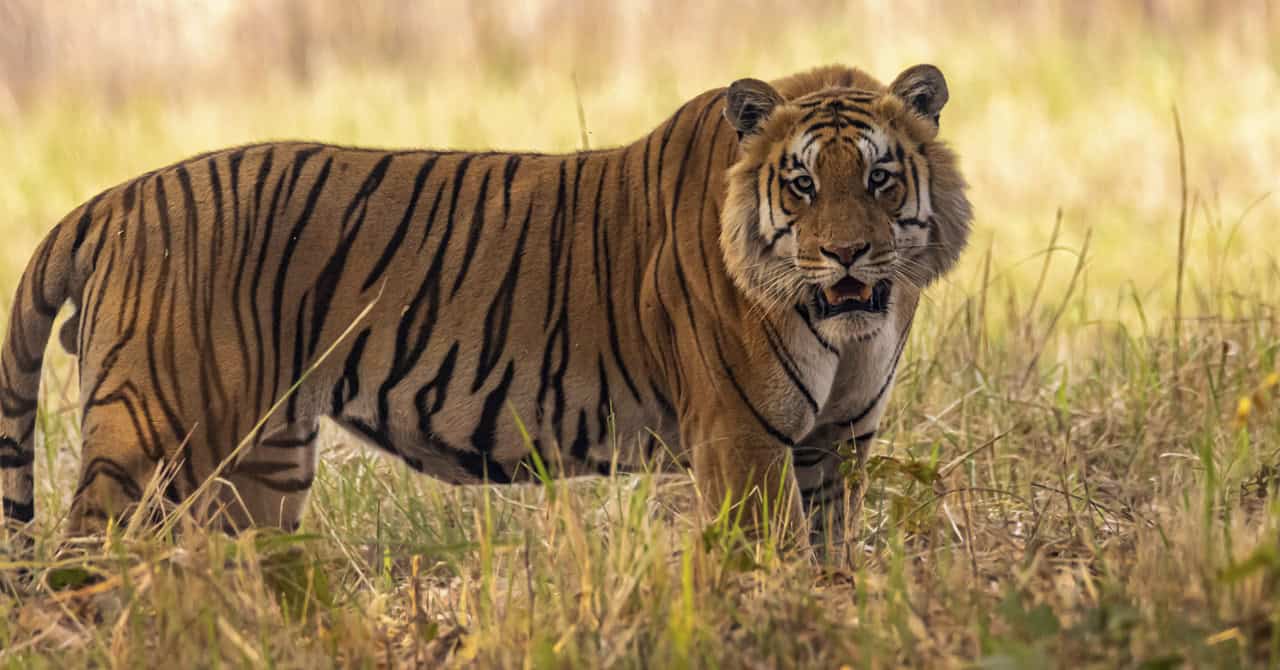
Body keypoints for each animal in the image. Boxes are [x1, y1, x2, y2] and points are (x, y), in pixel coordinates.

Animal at [0, 63, 970, 554]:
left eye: (880, 178)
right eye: (801, 185)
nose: (846, 253)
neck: (858, 328)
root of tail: (114, 198)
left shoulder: (835, 440)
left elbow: (832, 559)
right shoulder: (743, 439)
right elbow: (770, 560)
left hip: (259, 466)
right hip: (148, 438)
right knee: (76, 573)